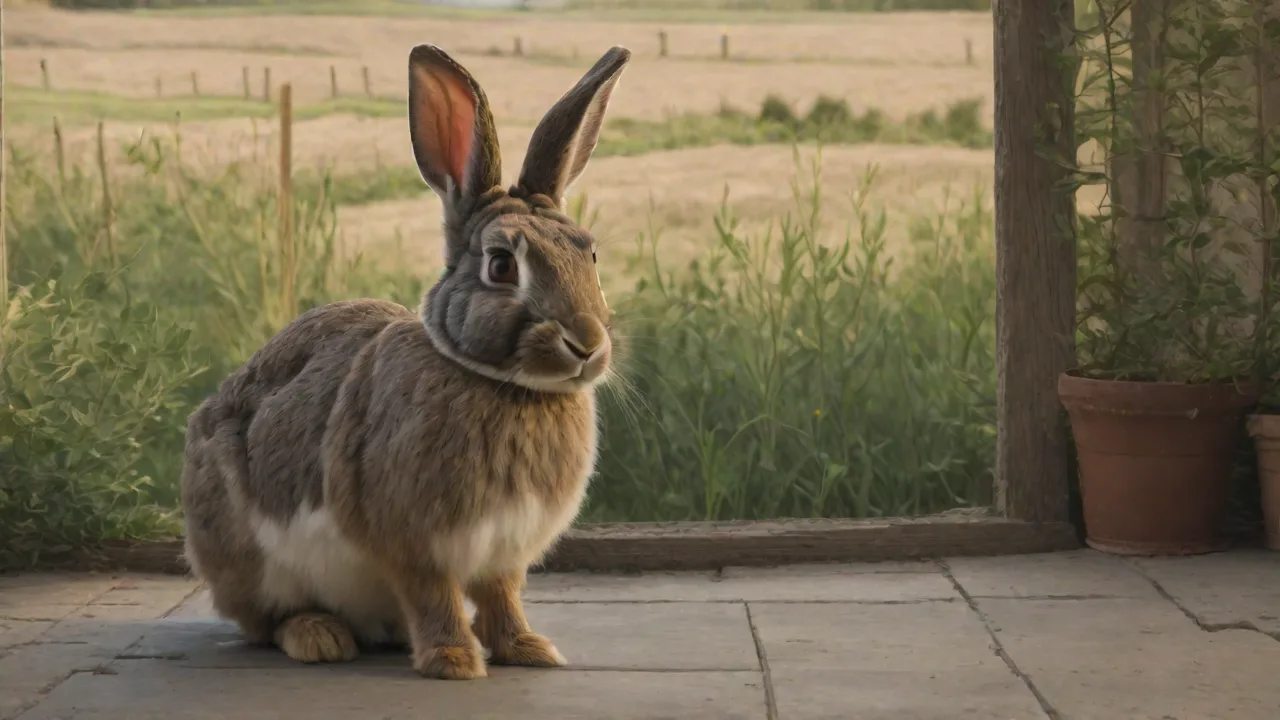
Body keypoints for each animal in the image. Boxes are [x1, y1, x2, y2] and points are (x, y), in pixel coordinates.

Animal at [180, 43, 632, 680]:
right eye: (500, 265)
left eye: (589, 255)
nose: (587, 343)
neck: (503, 385)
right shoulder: (413, 540)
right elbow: (434, 594)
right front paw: (454, 660)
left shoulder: (504, 552)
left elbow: (502, 596)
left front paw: (527, 649)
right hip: (247, 552)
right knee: (264, 622)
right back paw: (320, 637)